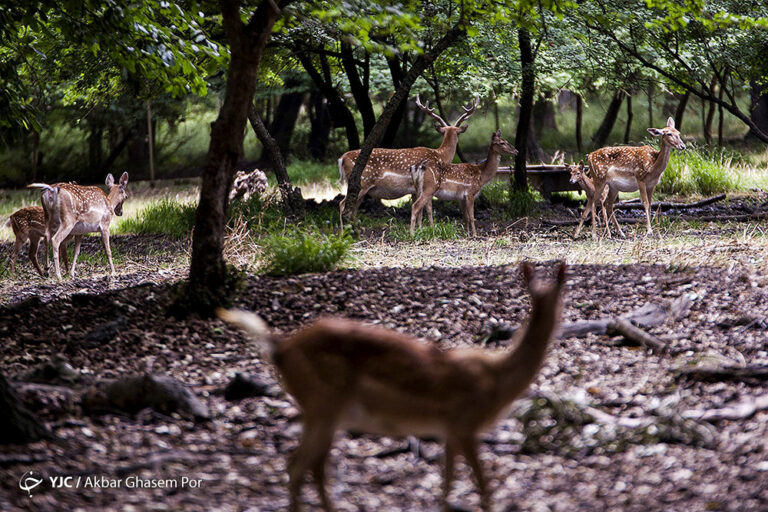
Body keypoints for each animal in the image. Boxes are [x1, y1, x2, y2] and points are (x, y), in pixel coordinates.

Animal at [218, 261, 567, 512]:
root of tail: (280, 347)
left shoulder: (450, 430)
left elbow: (447, 485)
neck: (499, 378)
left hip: (323, 410)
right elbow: (483, 487)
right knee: (296, 466)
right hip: (322, 403)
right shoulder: (466, 423)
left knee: (310, 466)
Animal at [338, 95, 479, 229]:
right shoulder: (428, 184)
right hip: (362, 182)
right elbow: (428, 208)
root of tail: (342, 158)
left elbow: (420, 211)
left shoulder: (414, 190)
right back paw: (344, 231)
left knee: (353, 207)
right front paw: (431, 228)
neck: (440, 156)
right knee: (342, 204)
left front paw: (419, 229)